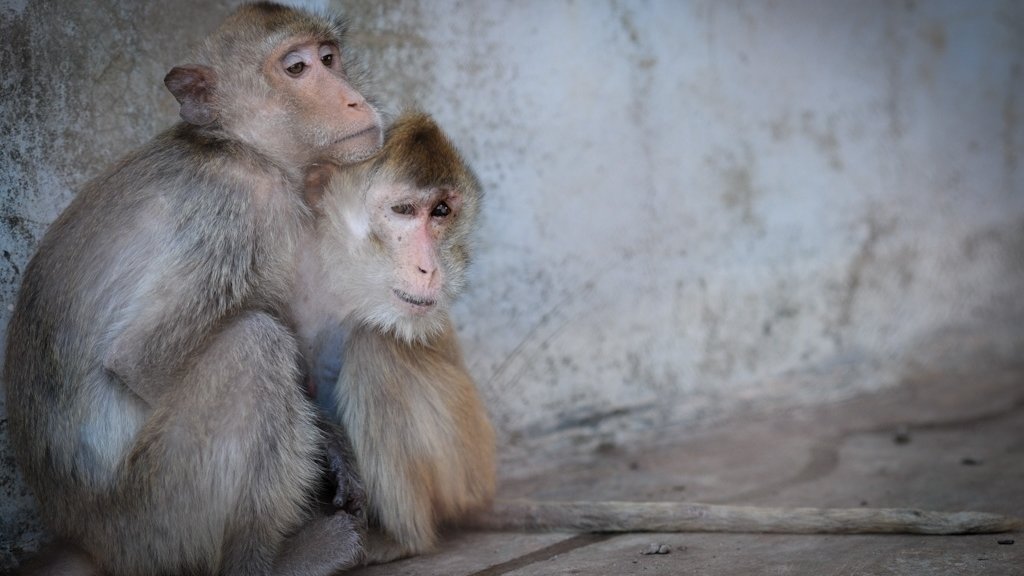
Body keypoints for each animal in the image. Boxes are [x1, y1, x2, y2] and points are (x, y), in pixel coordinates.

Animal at [3, 3, 382, 575]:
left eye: (329, 58)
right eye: (296, 68)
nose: (355, 98)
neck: (241, 147)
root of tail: (85, 537)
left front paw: (332, 446)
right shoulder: (235, 210)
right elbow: (141, 360)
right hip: (155, 521)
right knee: (254, 346)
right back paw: (270, 562)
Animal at [293, 112, 1023, 565]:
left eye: (441, 212)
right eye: (404, 211)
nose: (428, 265)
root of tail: (483, 485)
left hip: (461, 462)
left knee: (380, 350)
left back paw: (405, 539)